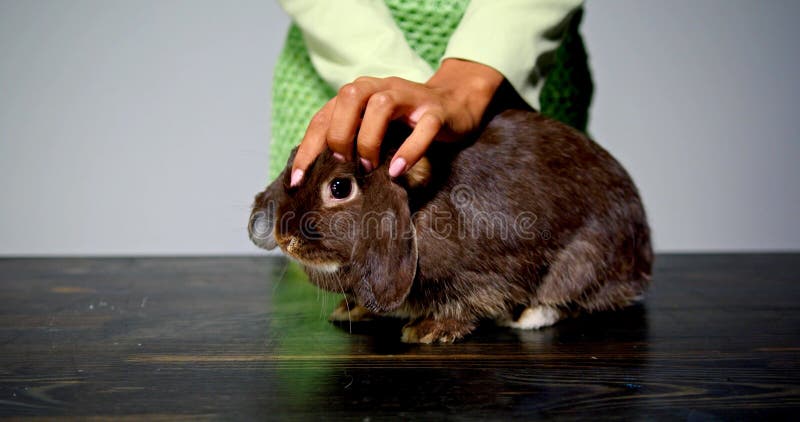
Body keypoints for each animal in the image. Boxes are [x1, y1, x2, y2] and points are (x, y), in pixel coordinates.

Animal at [249, 109, 652, 344]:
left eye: (339, 188)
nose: (284, 236)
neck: (418, 206)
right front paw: (352, 309)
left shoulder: (483, 275)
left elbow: (464, 304)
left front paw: (427, 331)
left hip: (584, 258)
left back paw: (527, 316)